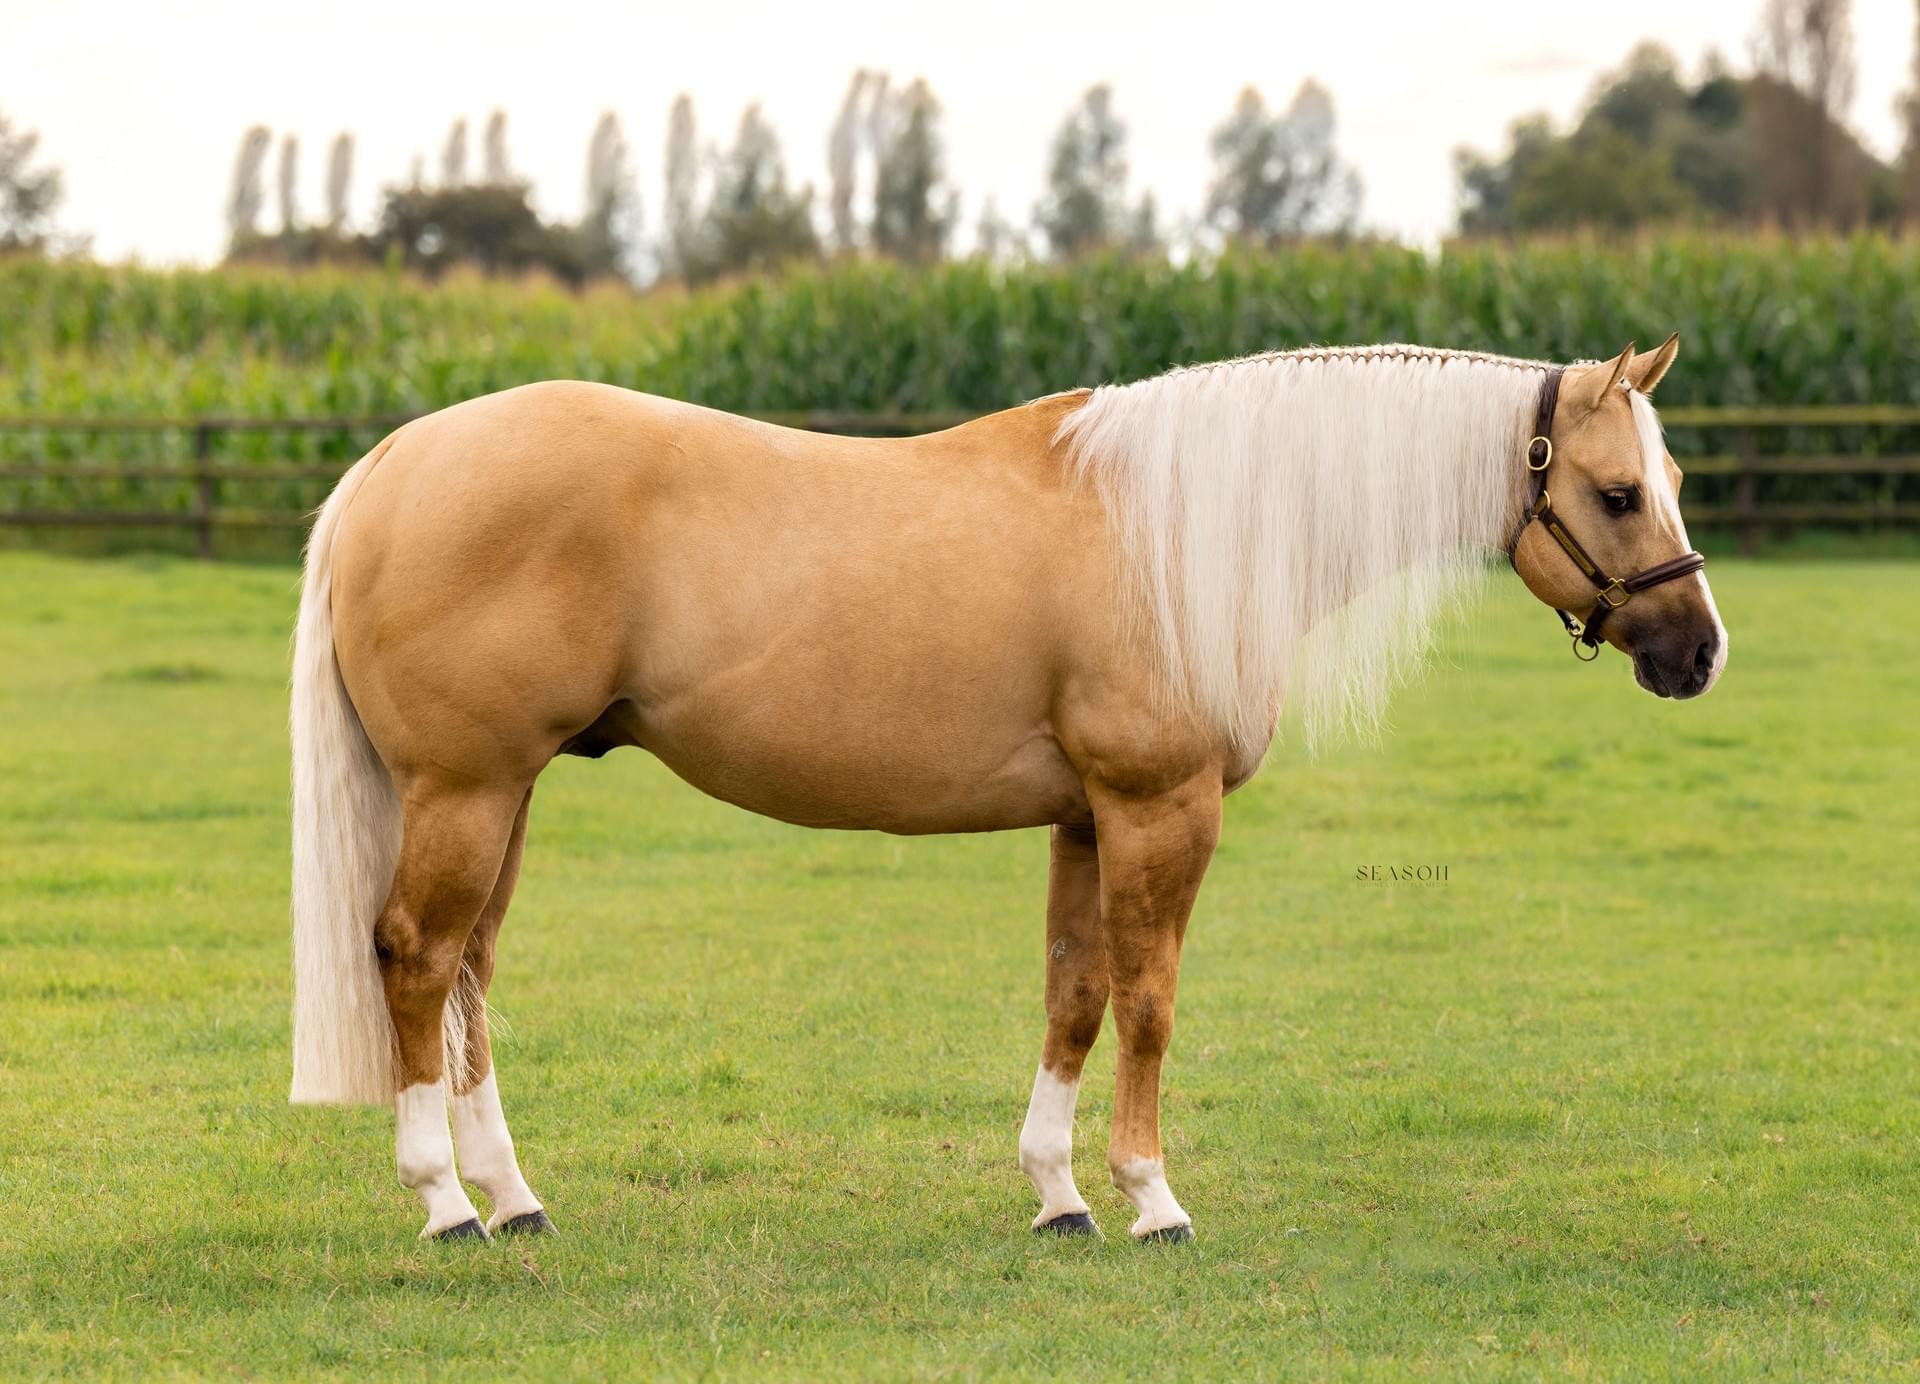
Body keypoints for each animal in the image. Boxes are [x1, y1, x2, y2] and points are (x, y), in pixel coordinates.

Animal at [289, 337, 1727, 1243]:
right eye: (1616, 492)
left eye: (1669, 482)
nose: (1699, 653)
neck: (1178, 529)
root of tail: (387, 465)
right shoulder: (1160, 807)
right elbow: (1150, 1003)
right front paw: (1153, 1199)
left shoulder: (1088, 816)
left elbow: (1075, 996)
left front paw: (1061, 1196)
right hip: (467, 789)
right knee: (418, 961)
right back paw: (446, 1207)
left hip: (505, 795)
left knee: (470, 975)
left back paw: (513, 1197)